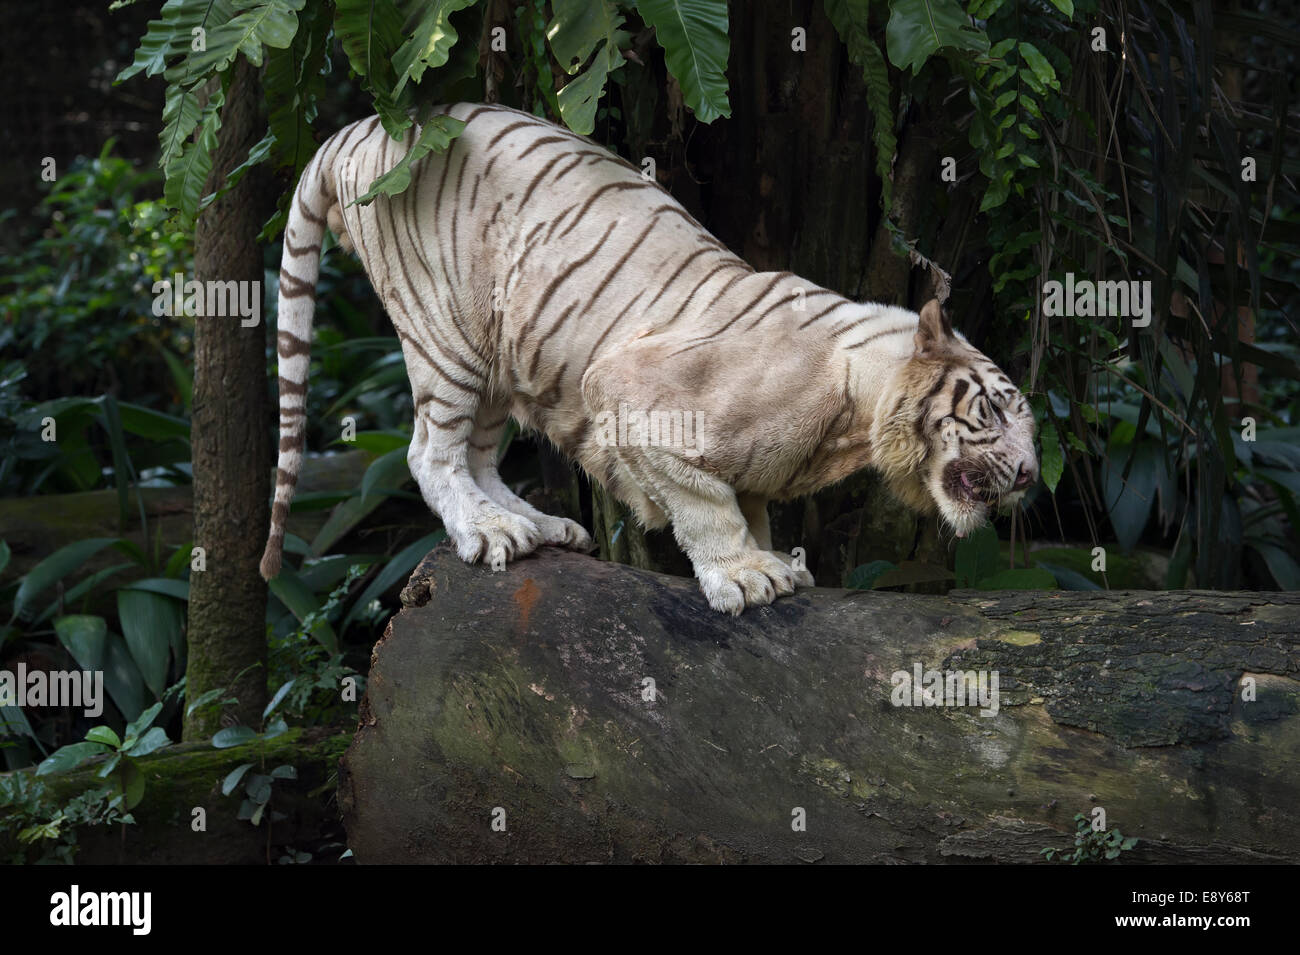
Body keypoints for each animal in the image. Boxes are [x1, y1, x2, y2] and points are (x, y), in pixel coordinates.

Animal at [259, 102, 1039, 615]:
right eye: (996, 410)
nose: (1032, 475)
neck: (856, 414)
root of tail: (365, 123)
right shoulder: (630, 393)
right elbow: (705, 503)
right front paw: (744, 575)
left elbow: (746, 502)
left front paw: (771, 560)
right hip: (445, 332)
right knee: (430, 450)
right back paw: (486, 528)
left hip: (496, 352)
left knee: (477, 453)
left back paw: (532, 525)